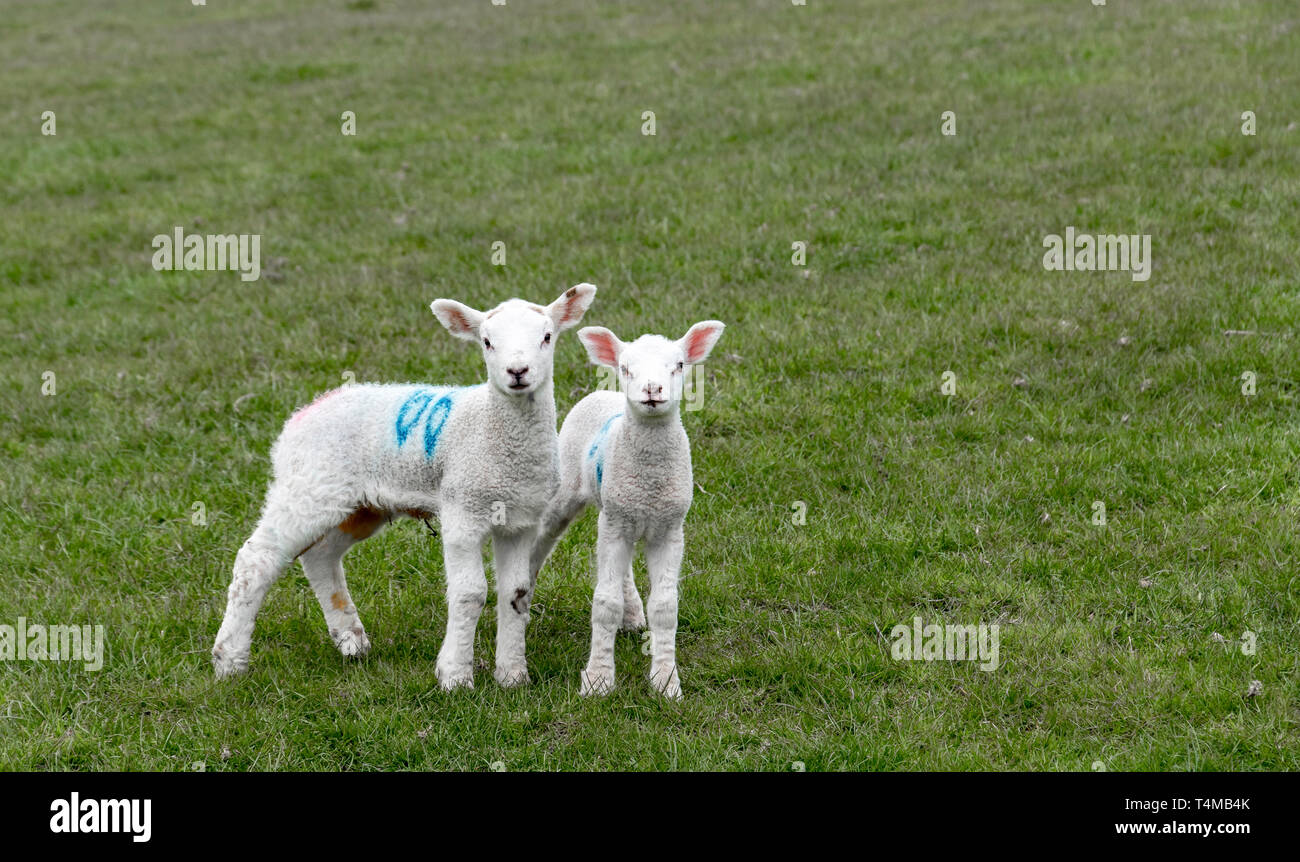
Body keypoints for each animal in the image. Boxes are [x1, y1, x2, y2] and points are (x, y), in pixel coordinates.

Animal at [211, 283, 598, 689]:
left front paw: (512, 676)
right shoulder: (463, 508)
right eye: (487, 341)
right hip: (308, 487)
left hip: (359, 505)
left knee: (320, 556)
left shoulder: (521, 519)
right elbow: (470, 593)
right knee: (257, 559)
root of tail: (300, 417)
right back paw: (229, 660)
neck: (492, 429)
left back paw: (350, 639)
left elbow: (516, 593)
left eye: (547, 336)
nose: (518, 372)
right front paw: (455, 677)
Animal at [529, 319, 725, 698]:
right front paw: (598, 680)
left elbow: (665, 607)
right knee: (541, 543)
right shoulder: (616, 525)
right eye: (625, 368)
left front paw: (666, 681)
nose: (652, 388)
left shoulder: (668, 529)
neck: (649, 480)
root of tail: (602, 394)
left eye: (679, 365)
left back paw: (633, 614)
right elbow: (605, 604)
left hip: (622, 513)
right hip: (573, 494)